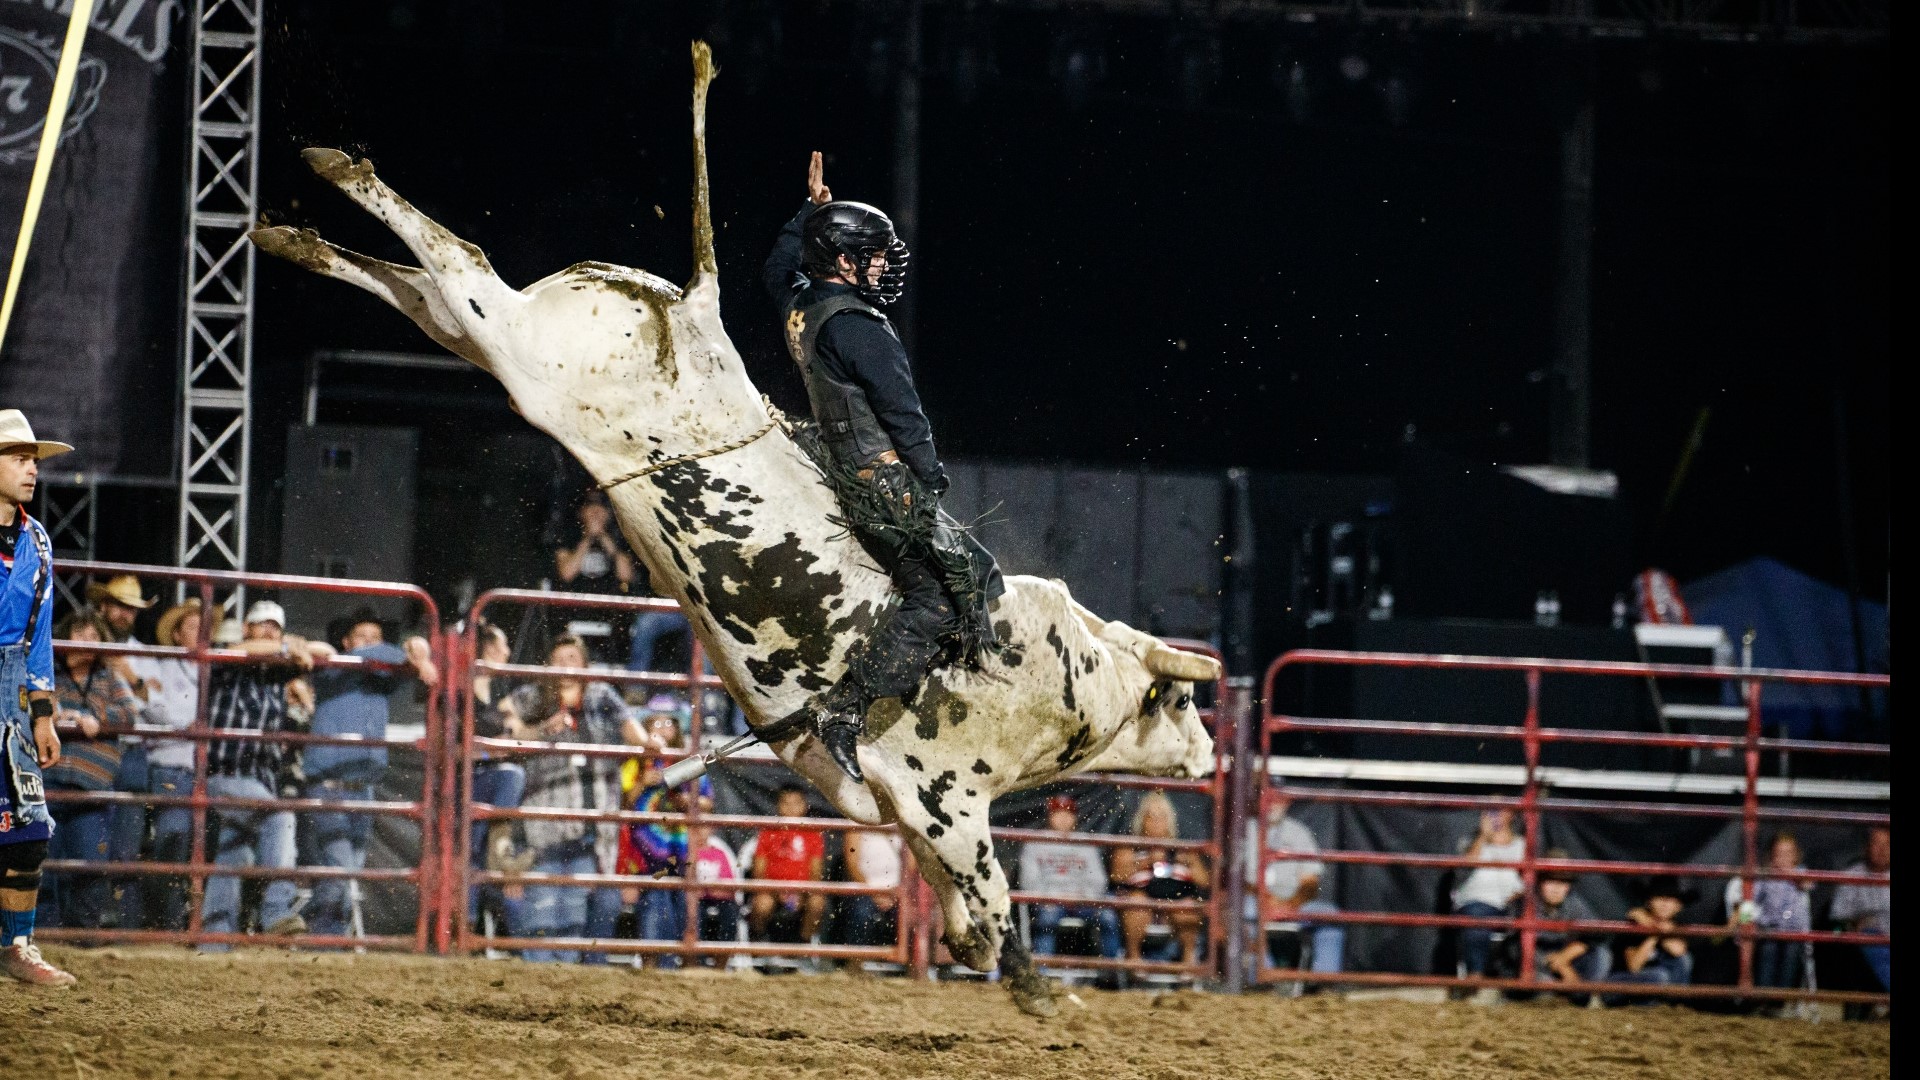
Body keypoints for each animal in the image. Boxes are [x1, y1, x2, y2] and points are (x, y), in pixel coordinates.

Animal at [249, 42, 1218, 1017]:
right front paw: (1035, 986)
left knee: (422, 289)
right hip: (523, 348)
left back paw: (290, 233)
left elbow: (962, 911)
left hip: (493, 344)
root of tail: (693, 313)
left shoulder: (907, 814)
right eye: (1181, 703)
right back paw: (338, 170)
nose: (1212, 755)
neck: (1068, 671)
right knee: (458, 258)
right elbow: (990, 893)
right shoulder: (947, 800)